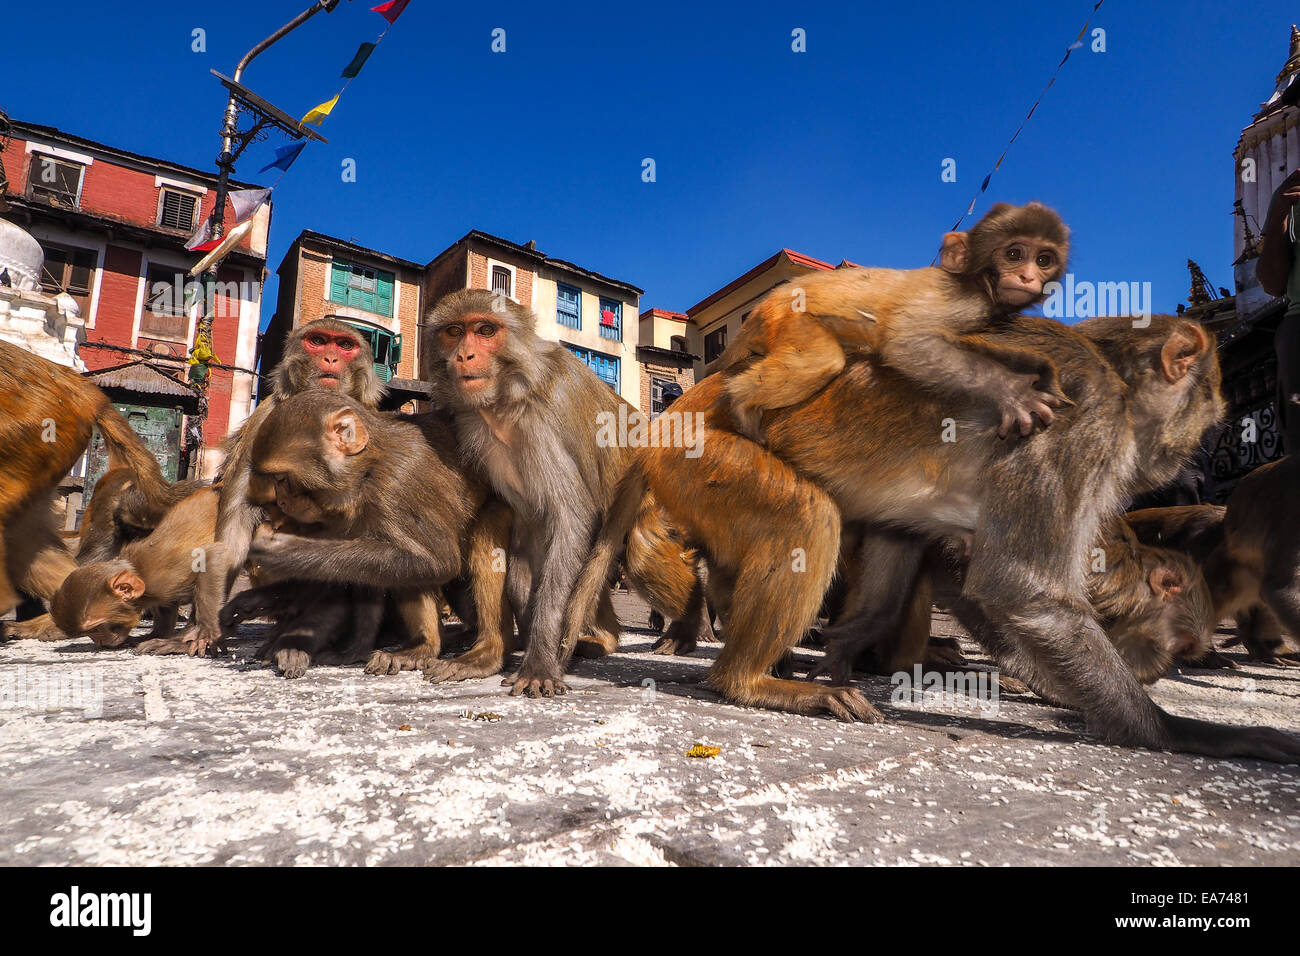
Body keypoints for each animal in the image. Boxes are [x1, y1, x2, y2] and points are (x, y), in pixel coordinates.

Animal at [49, 487, 226, 649]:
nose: (99, 642)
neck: (139, 573)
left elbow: (214, 556)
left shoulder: (163, 576)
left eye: (97, 629)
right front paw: (156, 634)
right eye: (88, 633)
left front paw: (202, 634)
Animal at [565, 312, 1300, 762]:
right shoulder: (1082, 423)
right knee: (808, 517)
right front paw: (1170, 729)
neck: (1113, 370)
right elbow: (1018, 588)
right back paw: (747, 680)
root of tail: (683, 406)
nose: (1184, 455)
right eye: (1207, 407)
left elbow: (910, 542)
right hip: (699, 458)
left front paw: (846, 645)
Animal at [716, 201, 1071, 444]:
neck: (975, 281)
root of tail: (759, 310)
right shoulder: (963, 301)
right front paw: (1009, 389)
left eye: (1043, 260)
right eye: (1013, 254)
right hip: (787, 316)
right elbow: (904, 341)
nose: (1027, 277)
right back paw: (741, 401)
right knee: (822, 362)